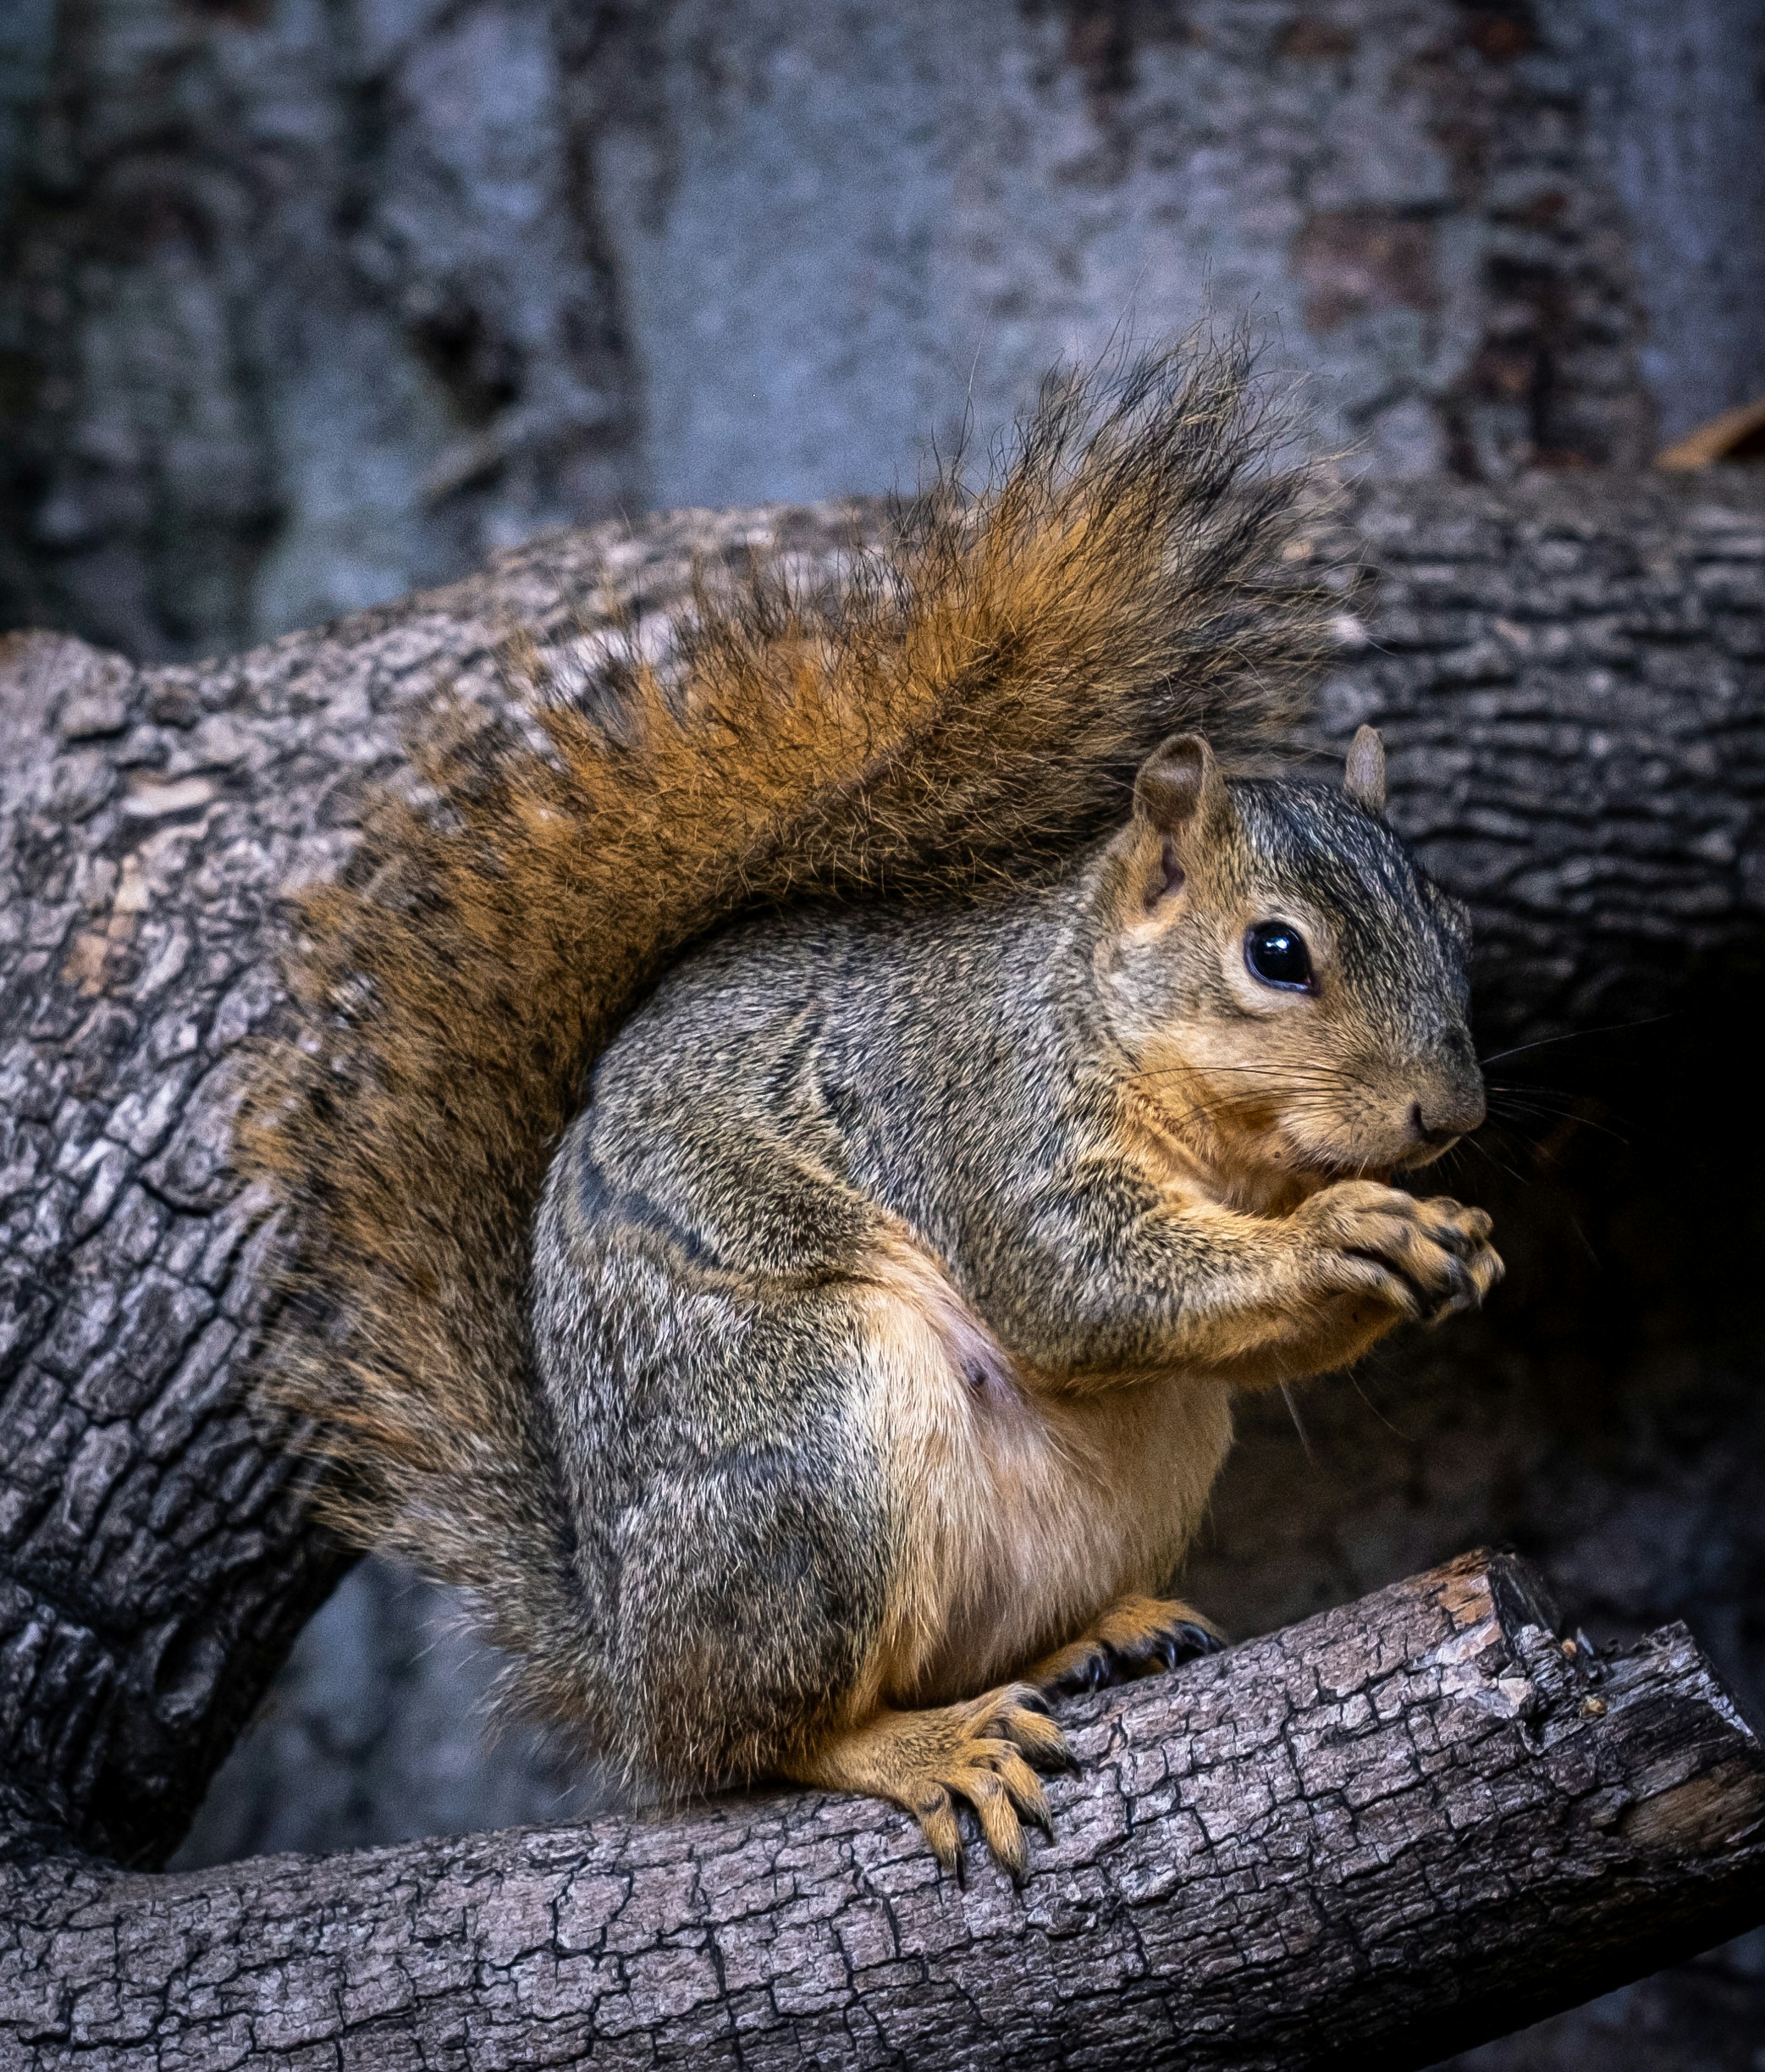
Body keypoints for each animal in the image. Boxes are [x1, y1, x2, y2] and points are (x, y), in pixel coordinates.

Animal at [246, 340, 1500, 1878]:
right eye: (1276, 954)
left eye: (1456, 925)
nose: (1447, 1112)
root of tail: (634, 1669)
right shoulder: (984, 1111)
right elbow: (1080, 1283)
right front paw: (1348, 1234)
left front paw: (1444, 1236)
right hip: (812, 1445)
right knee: (764, 1745)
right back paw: (919, 1744)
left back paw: (1097, 1636)